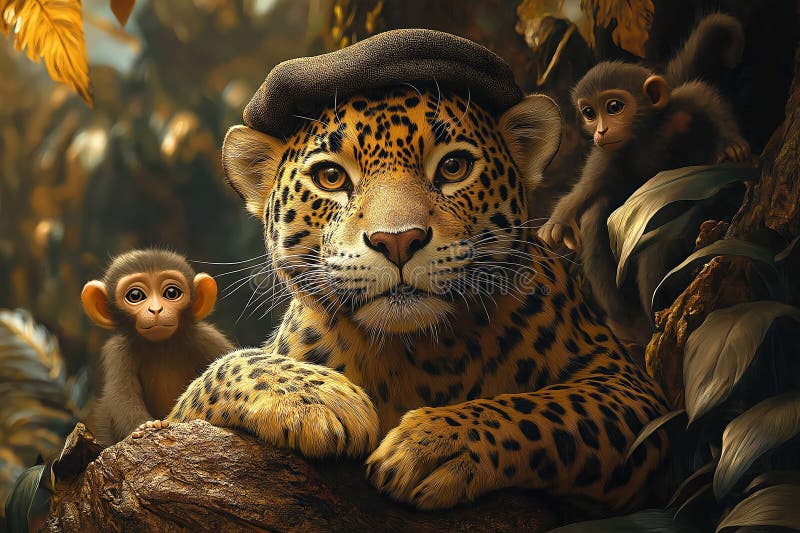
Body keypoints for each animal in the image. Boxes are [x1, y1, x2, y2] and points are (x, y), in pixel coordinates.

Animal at [81, 249, 234, 445]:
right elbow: (121, 395)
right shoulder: (117, 351)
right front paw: (146, 426)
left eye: (171, 293)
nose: (156, 310)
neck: (162, 346)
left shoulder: (208, 338)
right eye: (135, 296)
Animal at [166, 86, 670, 511]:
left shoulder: (630, 391)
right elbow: (220, 370)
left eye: (453, 168)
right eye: (330, 176)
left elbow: (546, 410)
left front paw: (433, 443)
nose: (397, 241)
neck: (419, 354)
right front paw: (318, 399)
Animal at [538, 14, 750, 343]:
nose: (601, 130)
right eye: (589, 112)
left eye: (614, 107)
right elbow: (585, 192)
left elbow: (702, 96)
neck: (644, 134)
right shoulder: (605, 157)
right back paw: (631, 324)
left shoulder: (678, 107)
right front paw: (559, 221)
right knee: (595, 218)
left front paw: (732, 143)